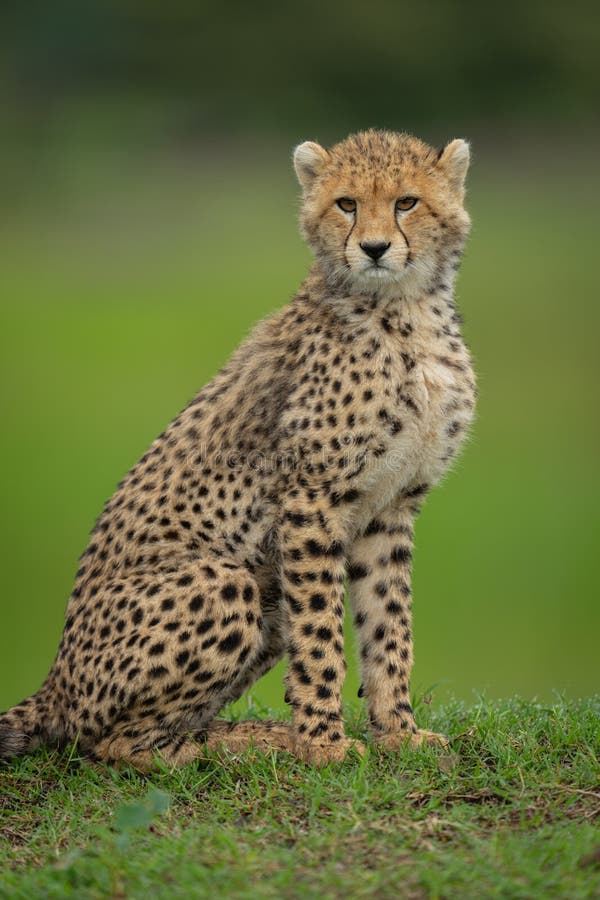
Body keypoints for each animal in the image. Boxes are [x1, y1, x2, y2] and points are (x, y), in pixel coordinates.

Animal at [0, 129, 476, 768]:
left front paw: (399, 732)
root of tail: (55, 682)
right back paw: (244, 745)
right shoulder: (311, 502)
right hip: (224, 580)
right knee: (109, 743)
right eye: (346, 204)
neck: (403, 309)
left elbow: (387, 624)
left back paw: (251, 737)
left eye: (407, 202)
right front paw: (323, 745)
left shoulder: (389, 509)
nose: (375, 248)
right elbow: (320, 635)